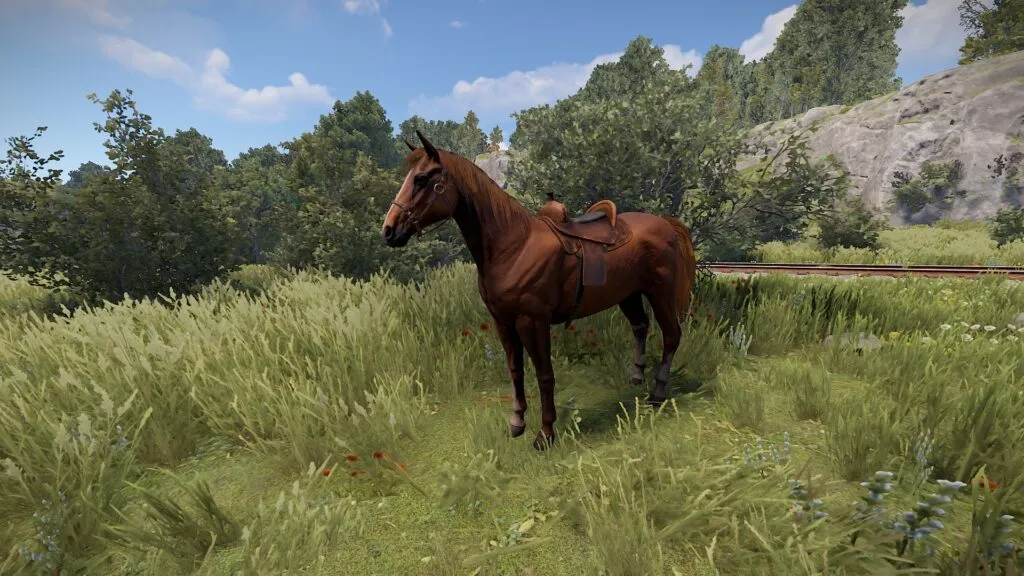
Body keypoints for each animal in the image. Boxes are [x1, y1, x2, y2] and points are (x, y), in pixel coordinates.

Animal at [381, 130, 697, 451]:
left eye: (421, 179)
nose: (389, 231)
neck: (514, 246)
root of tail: (665, 224)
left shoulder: (532, 322)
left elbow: (544, 375)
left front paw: (545, 433)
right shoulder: (503, 322)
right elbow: (515, 370)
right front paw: (517, 422)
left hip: (660, 294)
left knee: (671, 335)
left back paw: (658, 393)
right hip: (628, 295)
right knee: (640, 326)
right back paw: (635, 377)